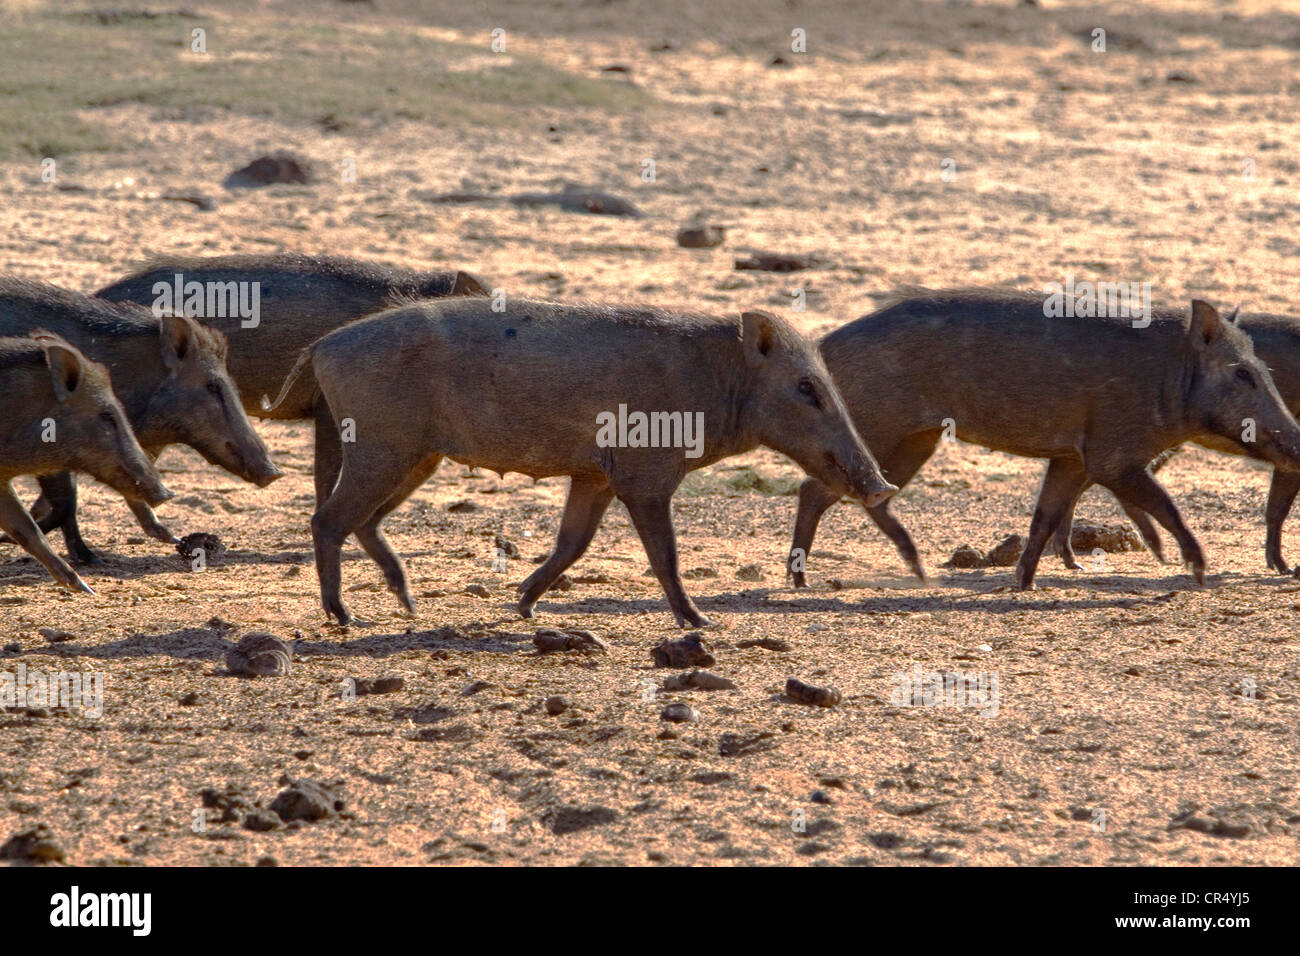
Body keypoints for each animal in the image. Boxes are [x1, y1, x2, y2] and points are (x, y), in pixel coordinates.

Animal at [265, 299, 897, 627]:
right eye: (806, 387)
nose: (884, 486)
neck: (718, 383)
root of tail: (320, 348)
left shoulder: (594, 476)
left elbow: (574, 543)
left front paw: (522, 606)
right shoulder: (645, 477)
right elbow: (664, 555)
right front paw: (702, 623)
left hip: (415, 458)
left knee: (362, 522)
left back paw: (409, 606)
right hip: (383, 448)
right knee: (328, 520)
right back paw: (346, 617)